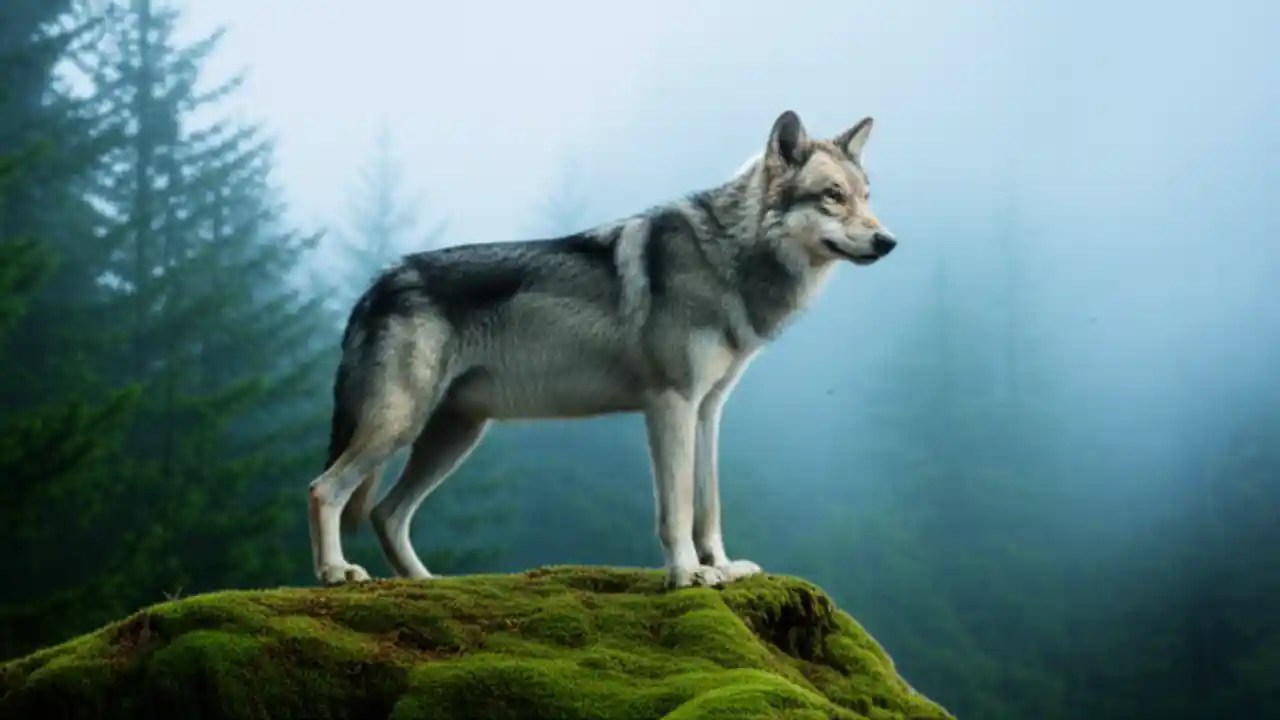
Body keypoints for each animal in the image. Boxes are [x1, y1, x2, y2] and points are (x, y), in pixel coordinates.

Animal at [307, 109, 898, 589]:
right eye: (832, 196)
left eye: (866, 197)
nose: (888, 241)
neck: (729, 256)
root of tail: (377, 283)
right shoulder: (671, 404)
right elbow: (677, 509)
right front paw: (688, 574)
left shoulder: (708, 411)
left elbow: (709, 506)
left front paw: (723, 567)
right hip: (400, 424)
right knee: (324, 489)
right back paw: (337, 571)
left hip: (455, 436)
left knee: (386, 513)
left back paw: (426, 582)